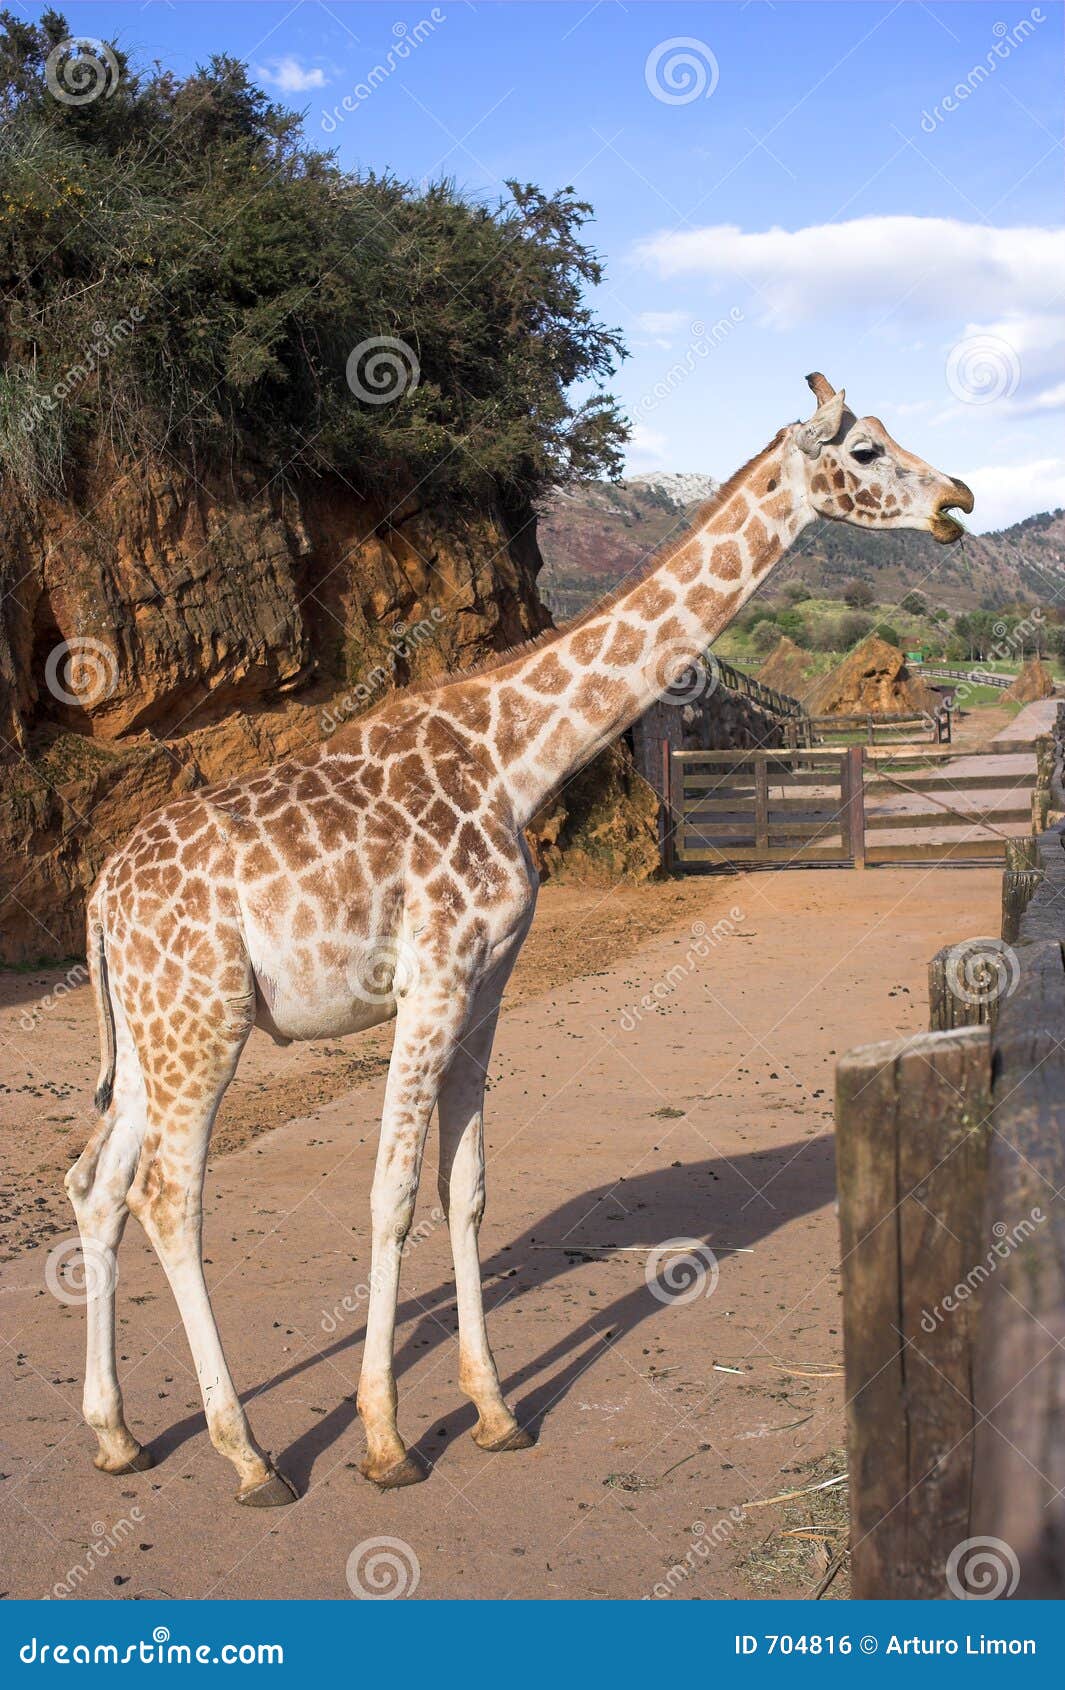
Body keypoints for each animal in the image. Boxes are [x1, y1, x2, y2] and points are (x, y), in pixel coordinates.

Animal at [65, 374, 973, 1505]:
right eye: (862, 449)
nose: (958, 501)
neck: (512, 760)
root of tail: (102, 898)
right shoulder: (432, 979)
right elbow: (391, 1197)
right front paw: (386, 1441)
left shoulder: (487, 985)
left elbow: (466, 1193)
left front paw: (494, 1413)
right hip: (205, 1022)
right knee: (167, 1195)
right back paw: (250, 1456)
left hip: (156, 1033)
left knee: (96, 1186)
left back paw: (117, 1435)